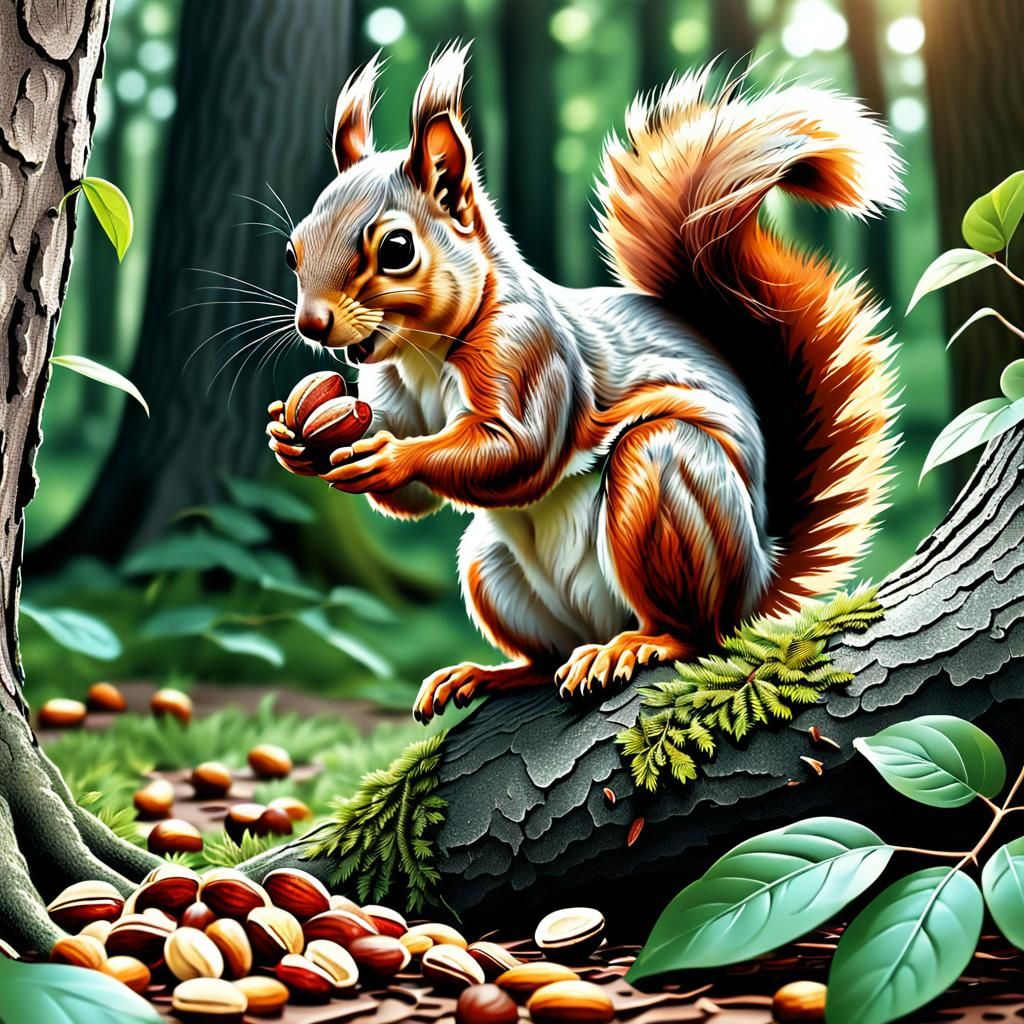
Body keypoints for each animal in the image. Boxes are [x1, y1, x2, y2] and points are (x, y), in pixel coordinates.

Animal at [268, 43, 901, 724]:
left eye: (396, 249)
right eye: (293, 251)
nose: (311, 323)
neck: (426, 354)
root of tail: (758, 580)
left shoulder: (530, 351)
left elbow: (519, 450)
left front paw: (391, 457)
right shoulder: (388, 382)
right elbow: (410, 495)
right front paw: (293, 437)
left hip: (666, 481)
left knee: (695, 632)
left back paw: (637, 646)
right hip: (489, 565)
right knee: (543, 657)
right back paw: (490, 672)